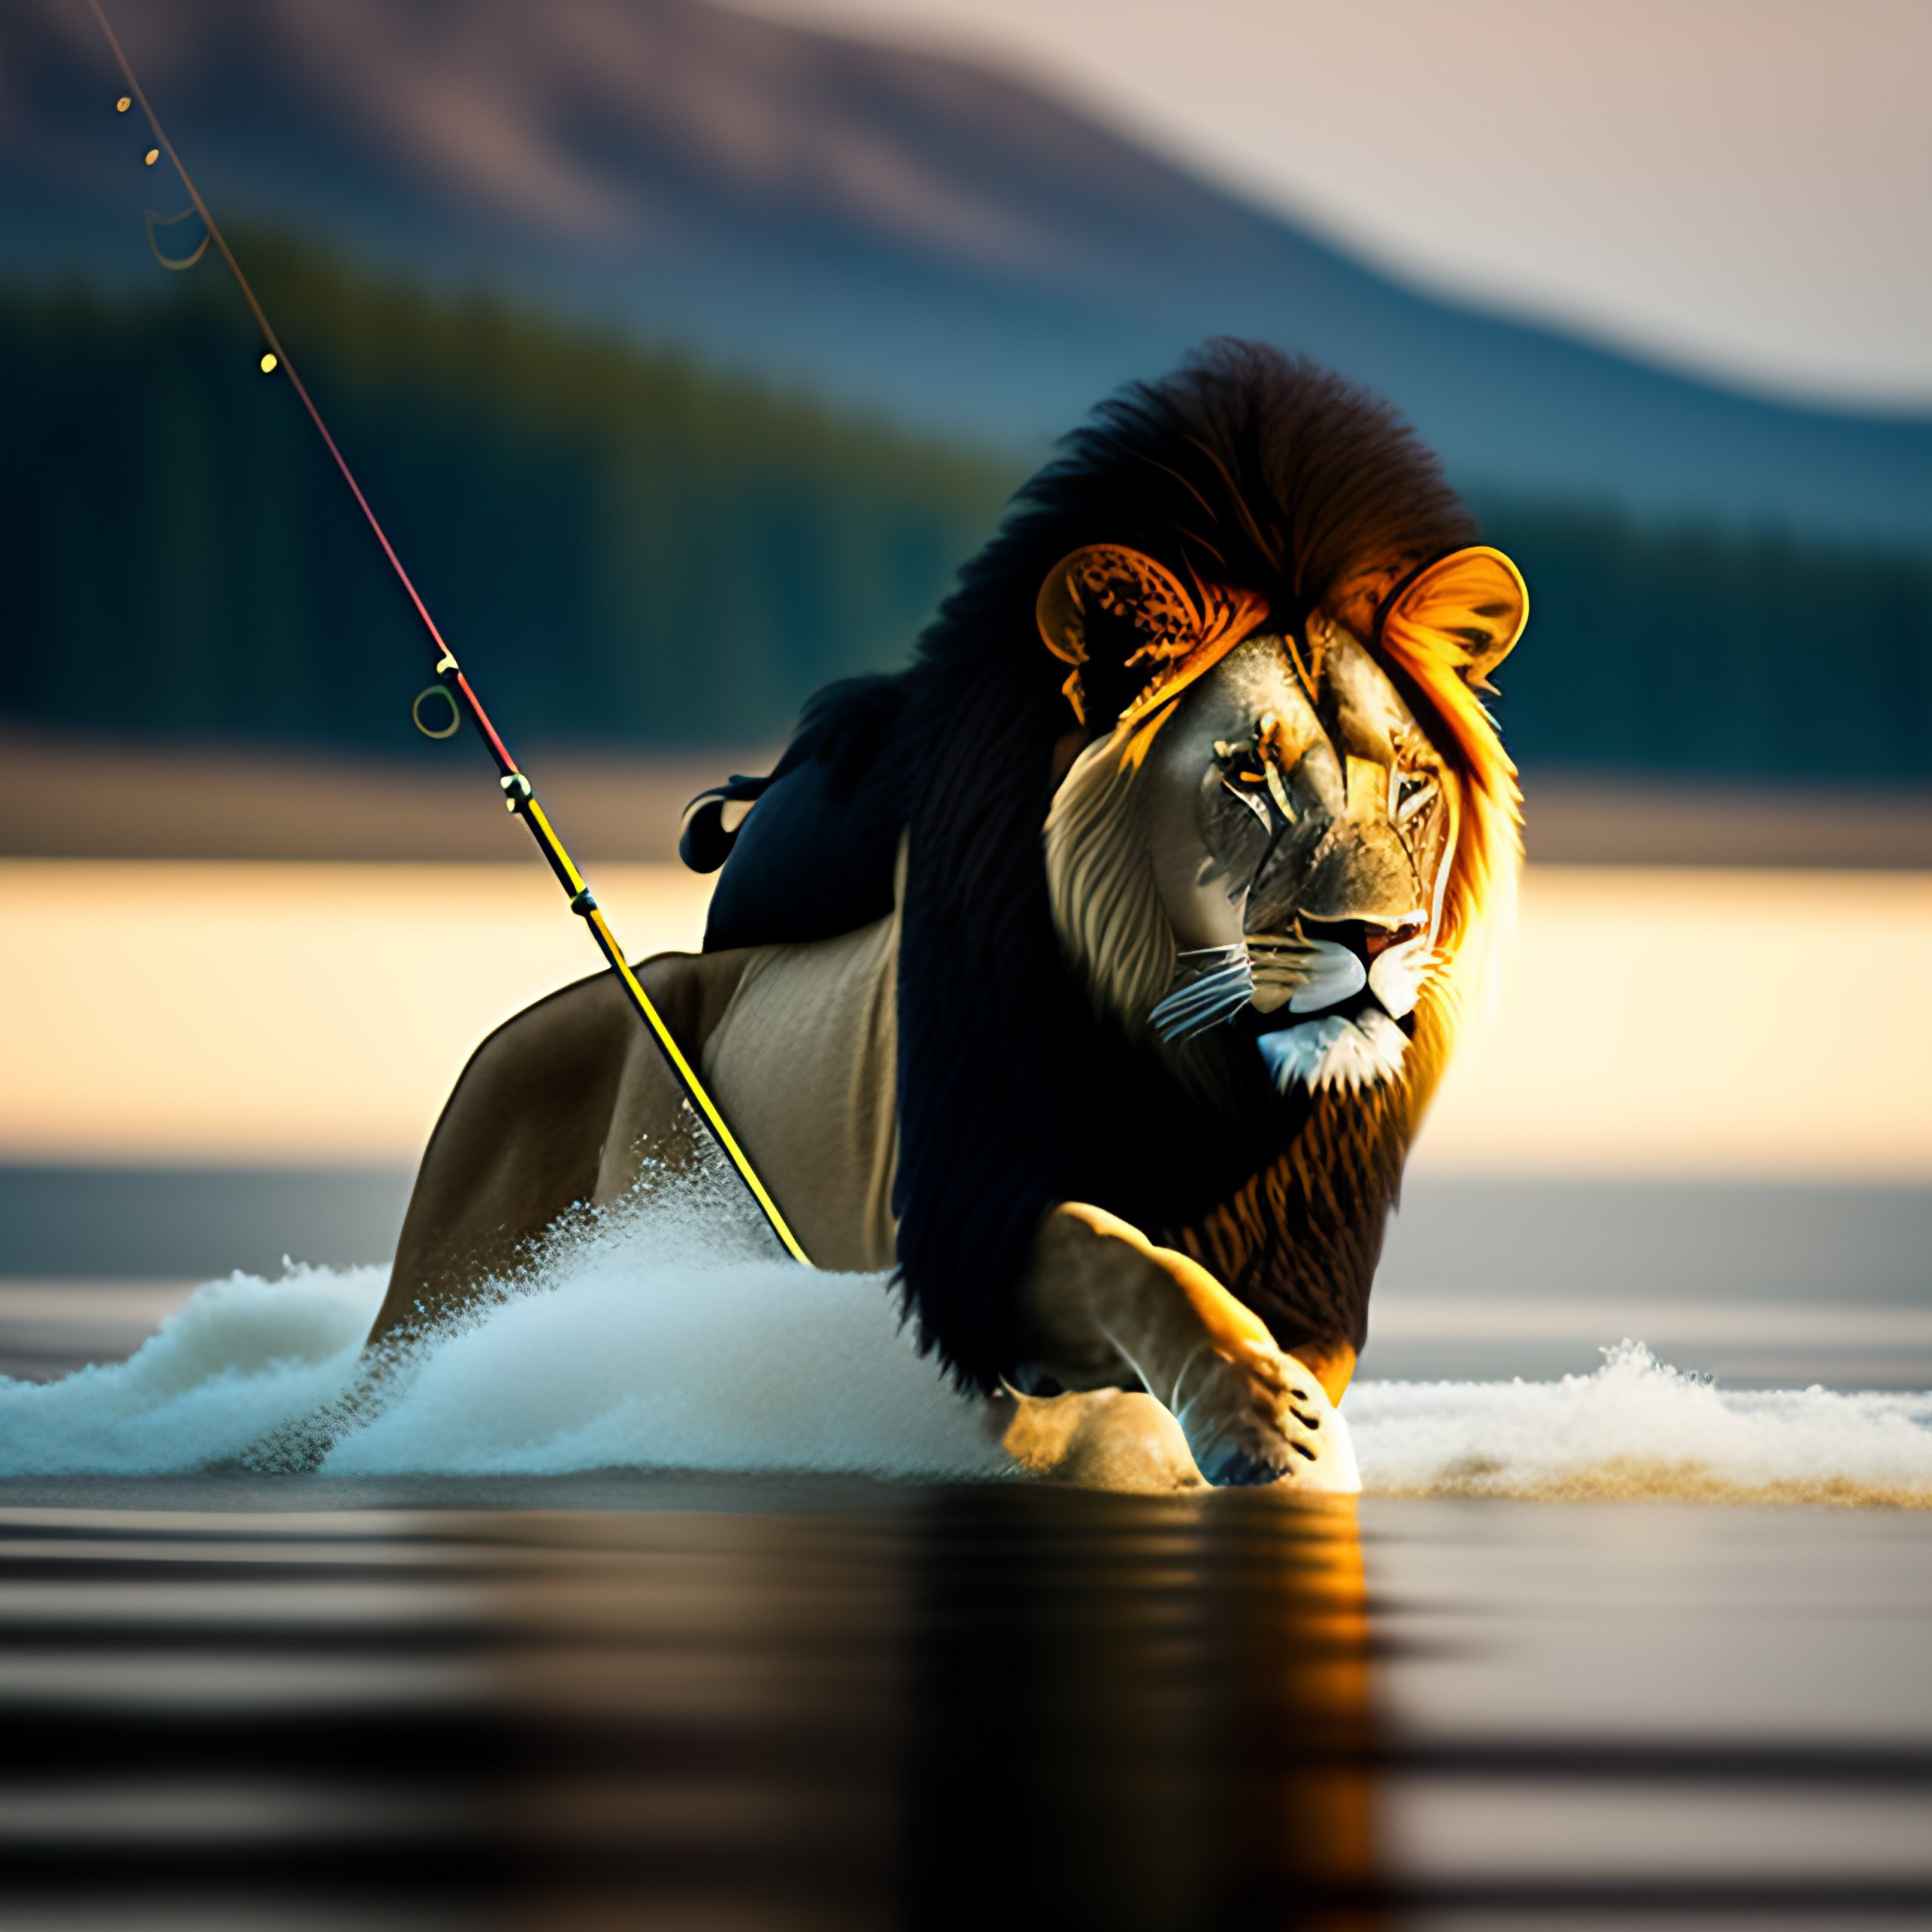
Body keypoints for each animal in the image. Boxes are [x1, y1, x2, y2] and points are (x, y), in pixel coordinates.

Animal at [359, 341, 1527, 1491]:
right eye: (1247, 772)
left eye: (1412, 783)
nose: (1373, 939)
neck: (1205, 1080)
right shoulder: (967, 1214)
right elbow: (1118, 1249)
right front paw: (1258, 1416)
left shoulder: (1312, 1253)